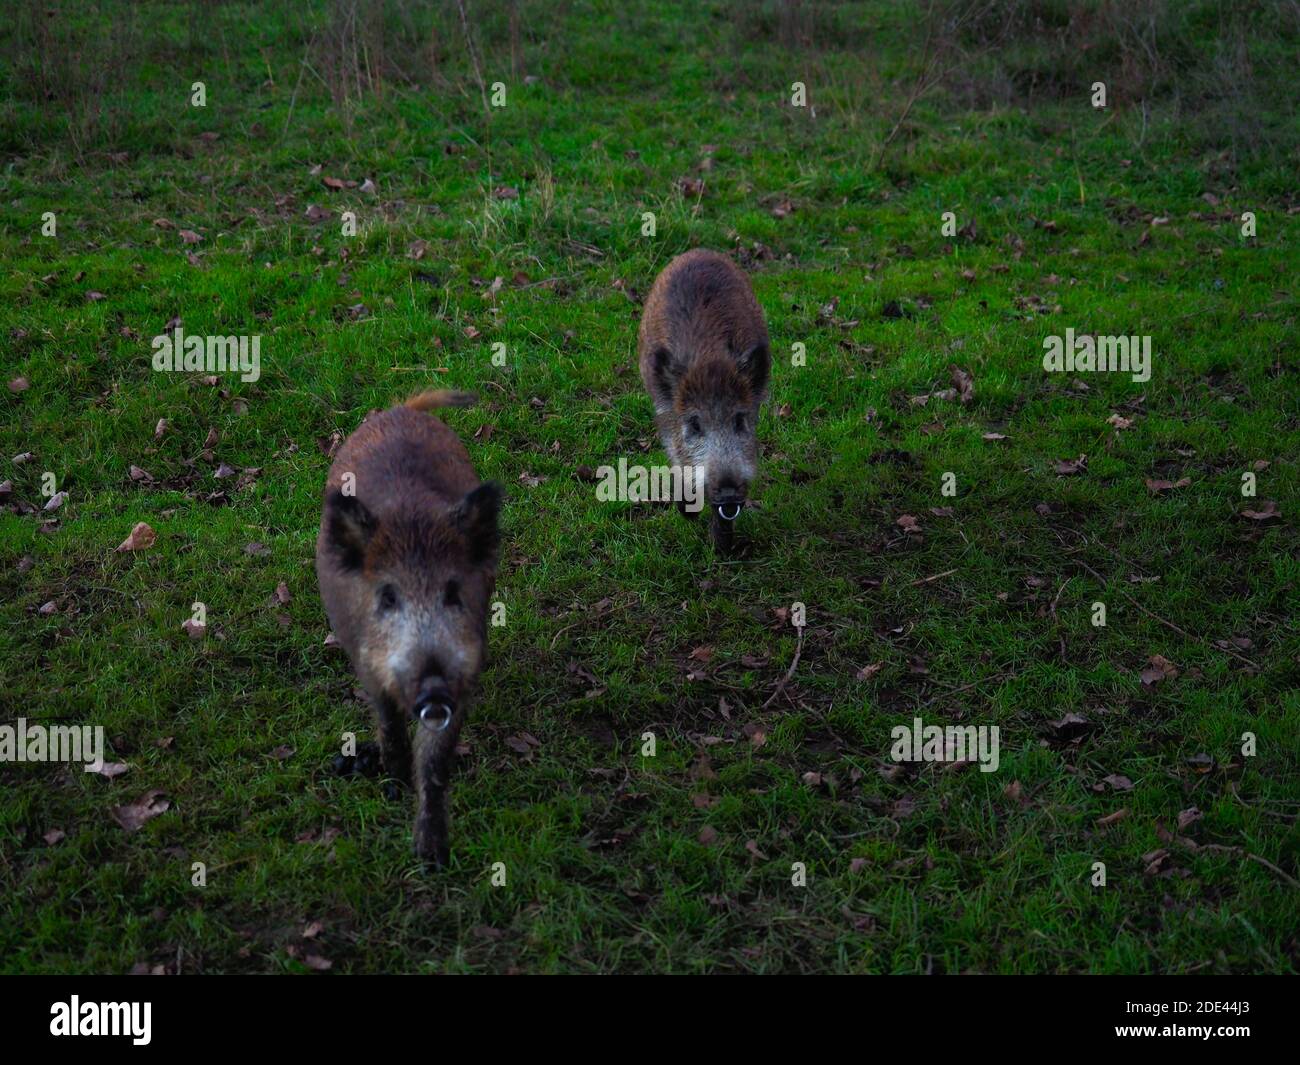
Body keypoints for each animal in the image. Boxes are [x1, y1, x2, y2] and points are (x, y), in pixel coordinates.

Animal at [316, 389, 502, 868]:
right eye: (387, 597)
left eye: (453, 592)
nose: (433, 689)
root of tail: (402, 408)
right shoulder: (367, 661)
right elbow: (388, 721)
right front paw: (393, 784)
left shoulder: (465, 671)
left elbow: (435, 761)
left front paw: (432, 858)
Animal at [638, 249, 770, 552]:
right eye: (695, 424)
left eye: (740, 420)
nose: (729, 493)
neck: (710, 362)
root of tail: (698, 251)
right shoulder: (667, 418)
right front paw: (689, 514)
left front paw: (721, 549)